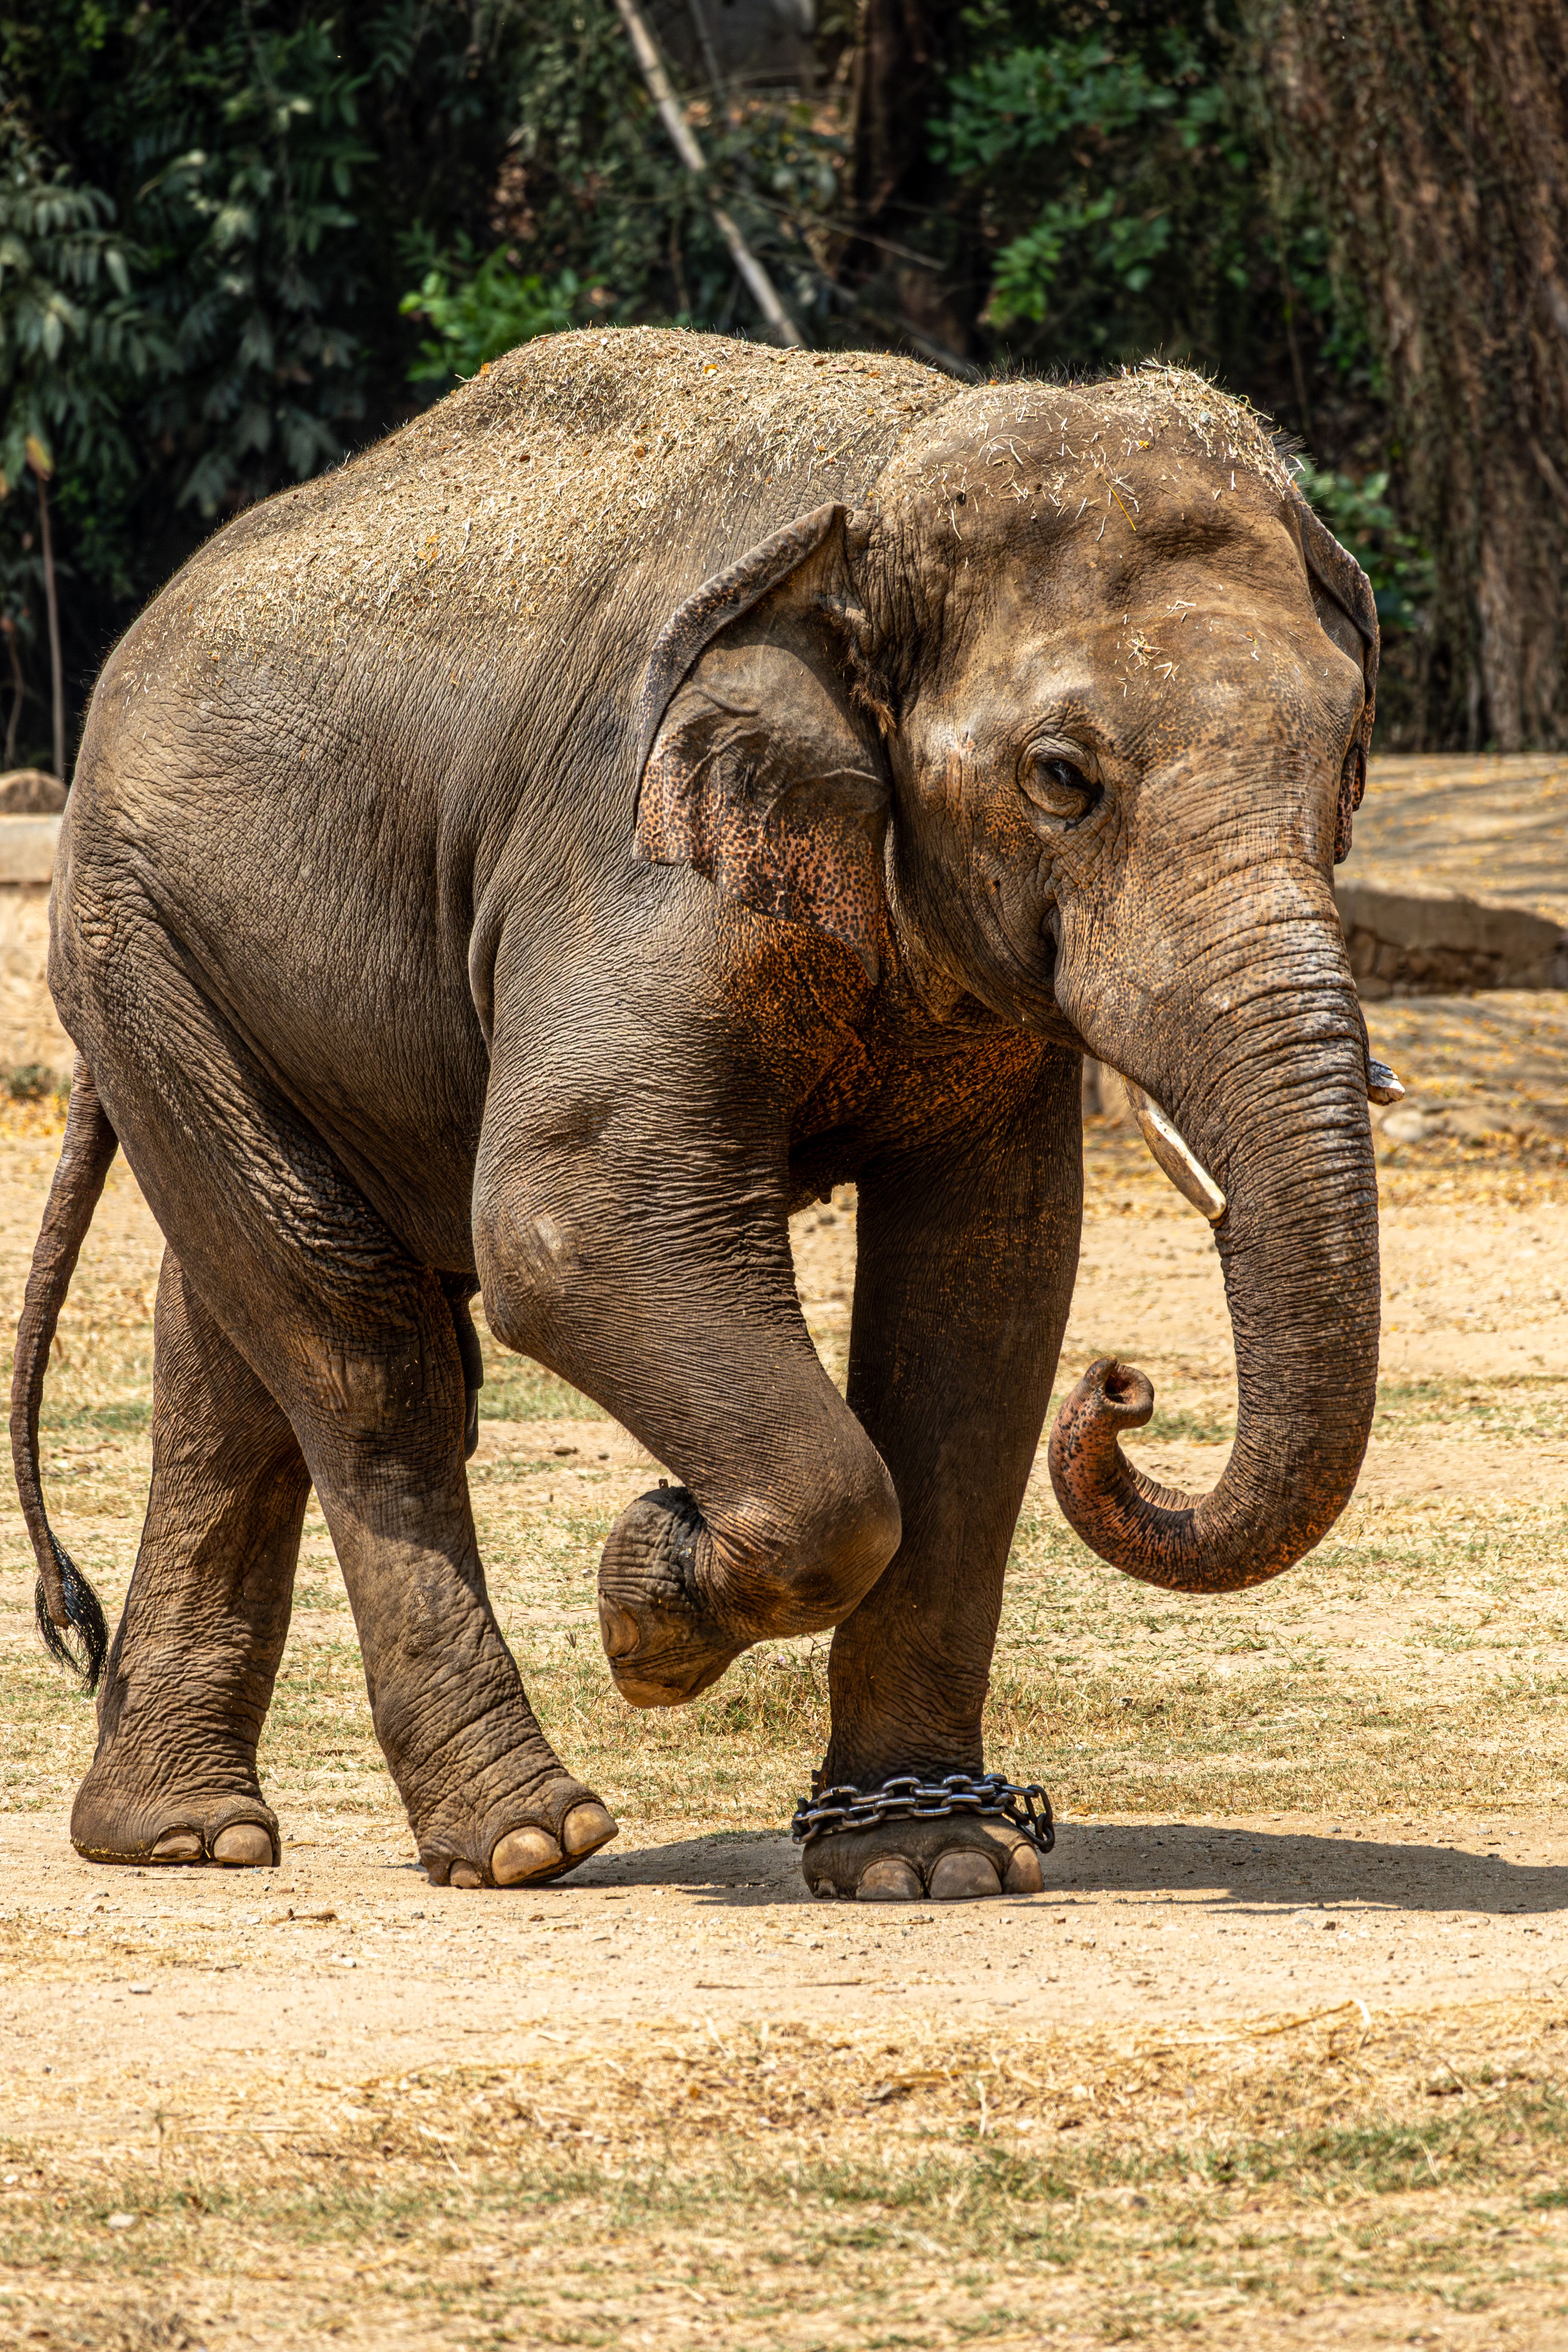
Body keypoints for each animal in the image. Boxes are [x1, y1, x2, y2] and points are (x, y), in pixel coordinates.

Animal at [12, 327, 1382, 1904]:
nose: (1126, 1389)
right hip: (134, 936)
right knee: (357, 1353)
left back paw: (182, 1833)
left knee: (231, 1354)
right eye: (1060, 779)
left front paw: (929, 1862)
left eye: (1347, 760)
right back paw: (523, 1835)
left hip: (206, 969)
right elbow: (570, 1224)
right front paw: (650, 1591)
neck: (879, 492)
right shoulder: (626, 850)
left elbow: (984, 1297)